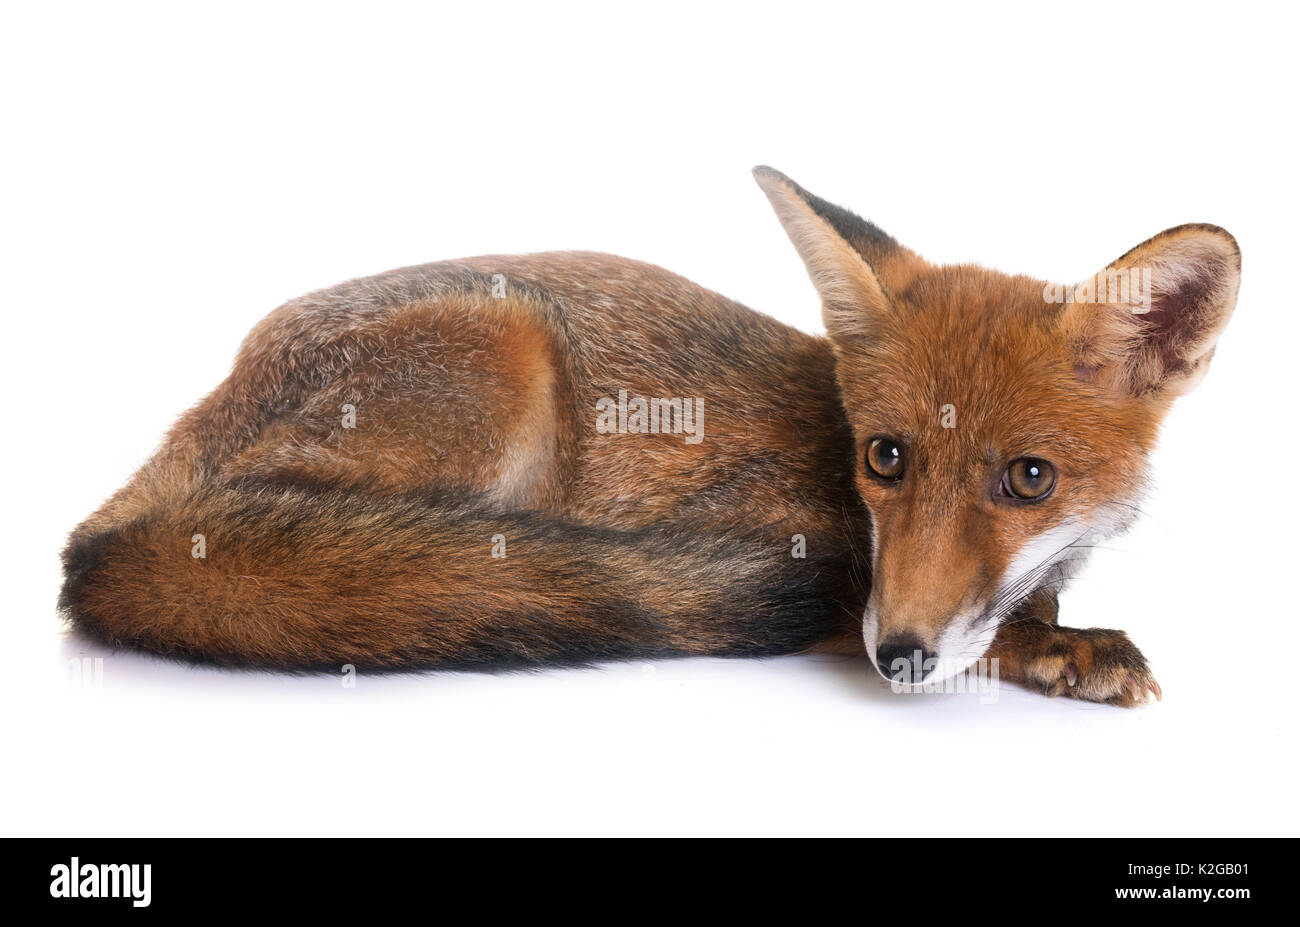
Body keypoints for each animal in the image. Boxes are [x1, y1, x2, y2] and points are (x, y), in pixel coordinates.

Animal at [59, 167, 1241, 706]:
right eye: (887, 457)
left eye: (1029, 478)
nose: (899, 655)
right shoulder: (766, 533)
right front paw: (1050, 645)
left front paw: (1048, 628)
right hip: (507, 354)